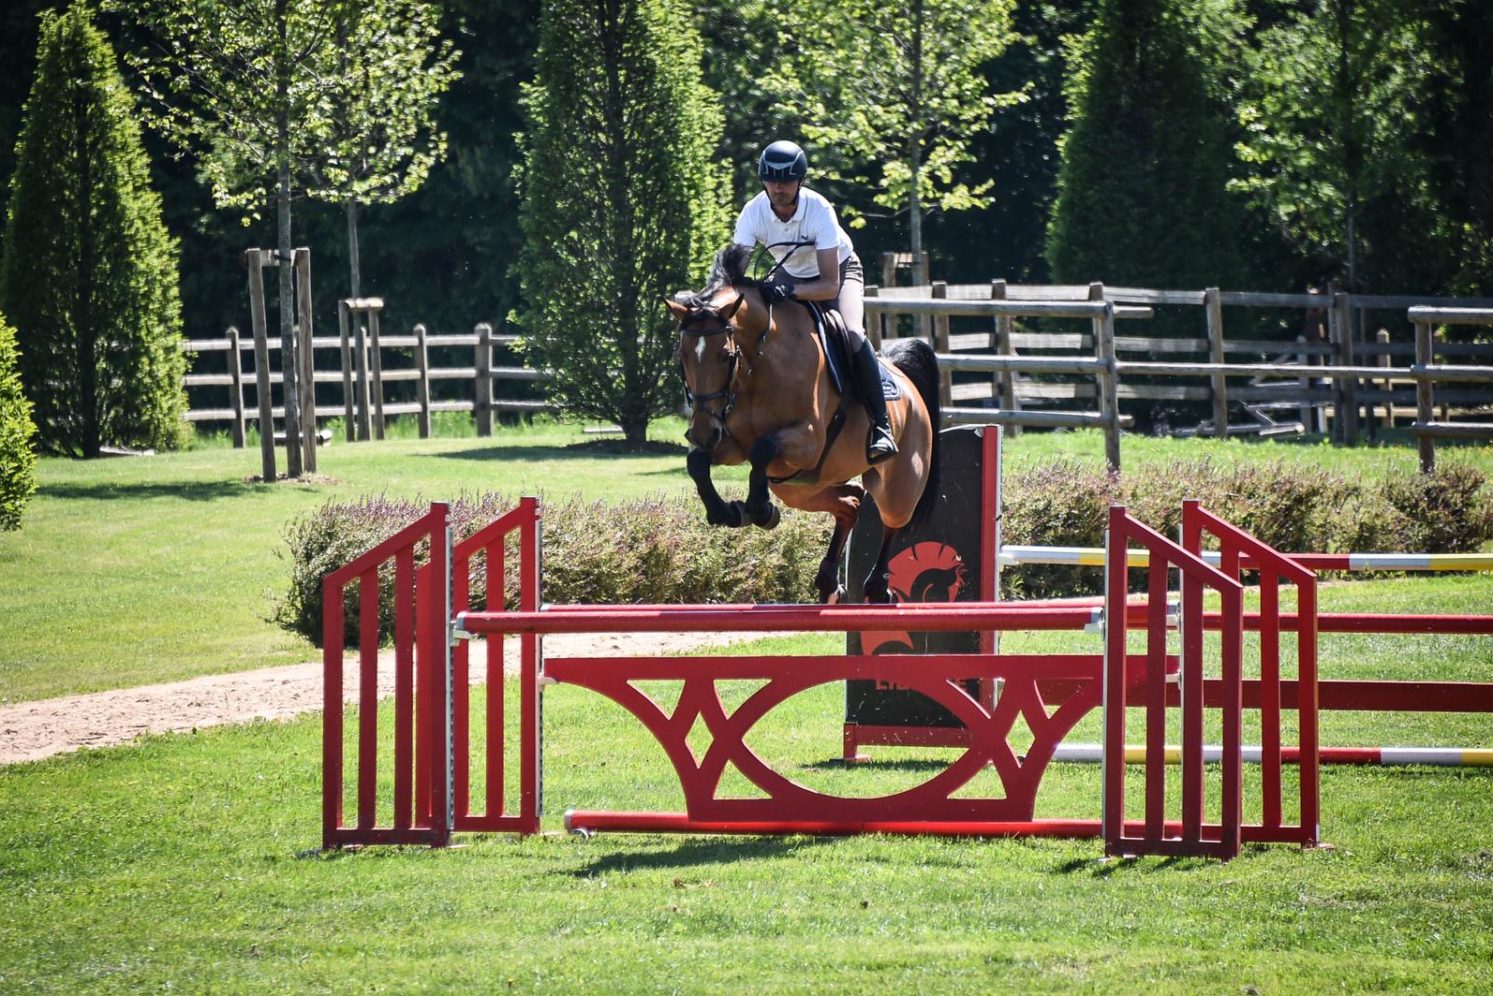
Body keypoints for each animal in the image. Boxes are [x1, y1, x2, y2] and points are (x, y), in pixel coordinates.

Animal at [665, 244, 942, 604]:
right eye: (681, 357)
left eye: (726, 357)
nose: (701, 432)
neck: (760, 363)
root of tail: (903, 377)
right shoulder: (730, 442)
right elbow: (698, 462)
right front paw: (726, 512)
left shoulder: (808, 441)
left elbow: (762, 448)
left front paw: (758, 509)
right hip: (800, 487)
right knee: (851, 501)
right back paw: (828, 582)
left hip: (897, 480)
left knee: (893, 518)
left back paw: (878, 587)